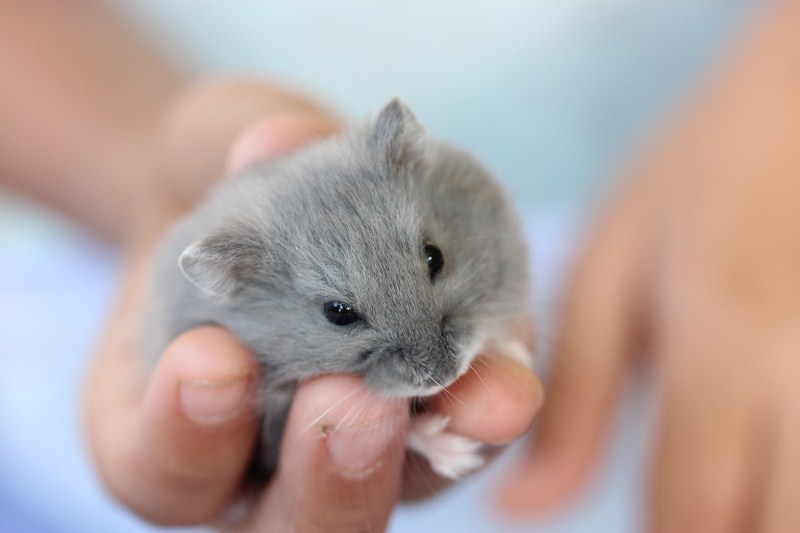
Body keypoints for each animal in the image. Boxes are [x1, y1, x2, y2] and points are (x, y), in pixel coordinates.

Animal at [142, 98, 532, 480]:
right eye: (337, 313)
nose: (445, 375)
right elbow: (408, 434)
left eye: (435, 257)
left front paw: (517, 355)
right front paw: (460, 456)